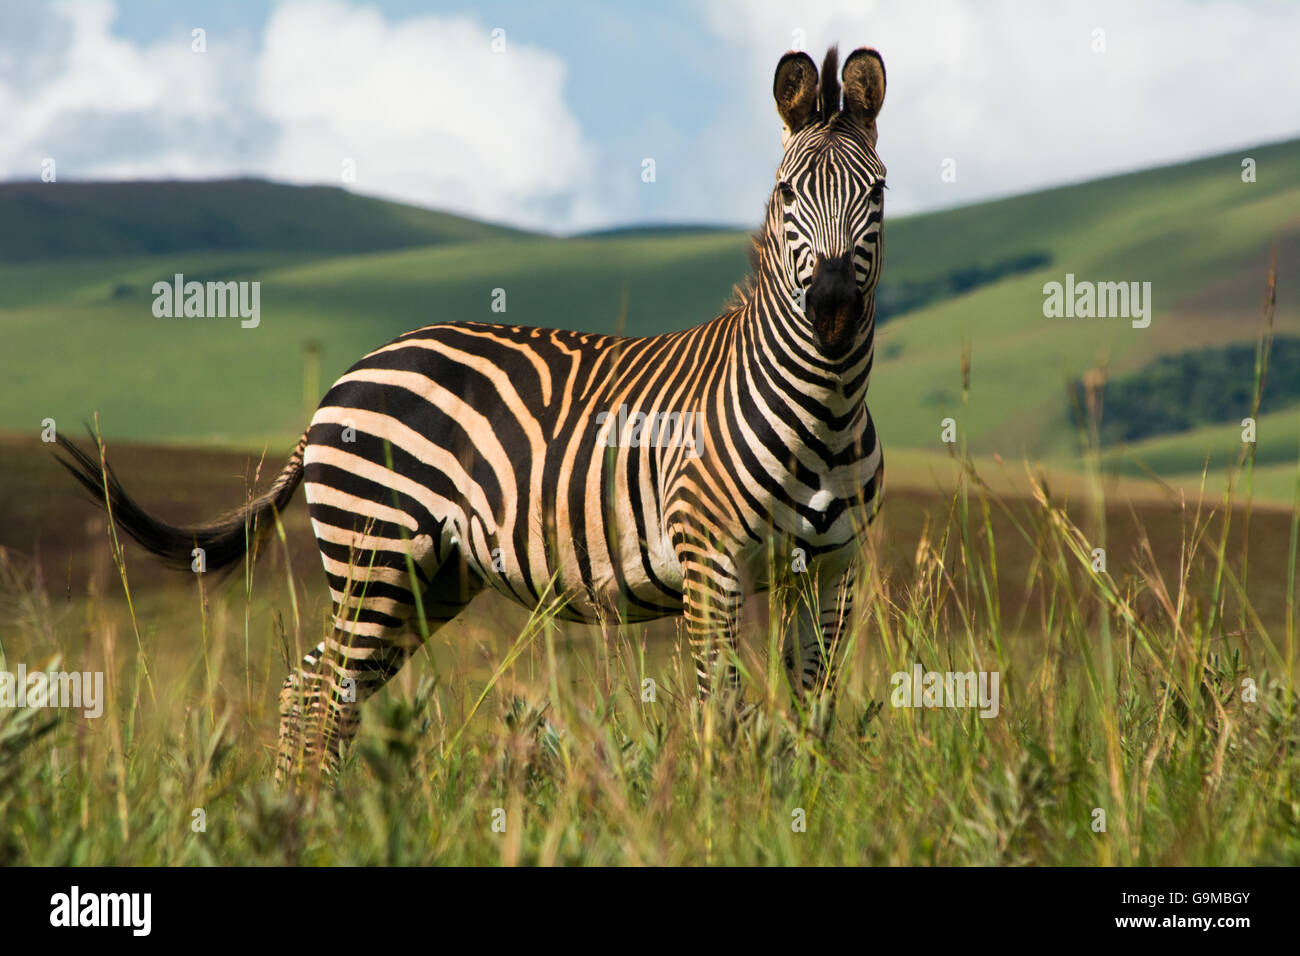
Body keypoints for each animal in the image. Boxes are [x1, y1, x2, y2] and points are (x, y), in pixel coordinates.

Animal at [58, 45, 888, 783]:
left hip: (430, 578)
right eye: (787, 194)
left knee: (312, 690)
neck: (822, 413)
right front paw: (719, 817)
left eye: (877, 193)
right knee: (327, 694)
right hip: (375, 554)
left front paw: (804, 812)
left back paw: (307, 812)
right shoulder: (710, 562)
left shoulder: (831, 574)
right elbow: (721, 714)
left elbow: (814, 712)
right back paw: (311, 820)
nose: (833, 310)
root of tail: (345, 379)